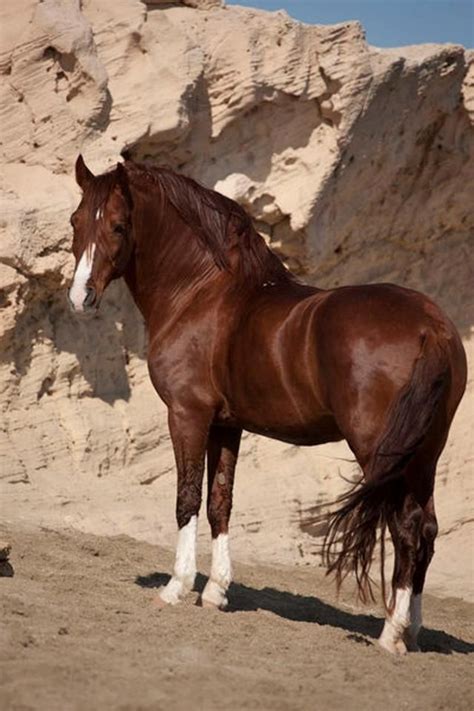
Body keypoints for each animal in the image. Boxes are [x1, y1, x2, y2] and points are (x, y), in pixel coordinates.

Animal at [68, 154, 467, 654]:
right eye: (76, 221)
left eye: (119, 225)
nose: (80, 298)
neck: (202, 292)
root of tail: (431, 325)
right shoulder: (226, 425)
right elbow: (220, 503)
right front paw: (216, 593)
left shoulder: (187, 416)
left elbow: (186, 499)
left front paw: (177, 587)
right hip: (423, 454)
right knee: (427, 530)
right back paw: (411, 631)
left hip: (383, 452)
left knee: (407, 528)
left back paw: (390, 634)